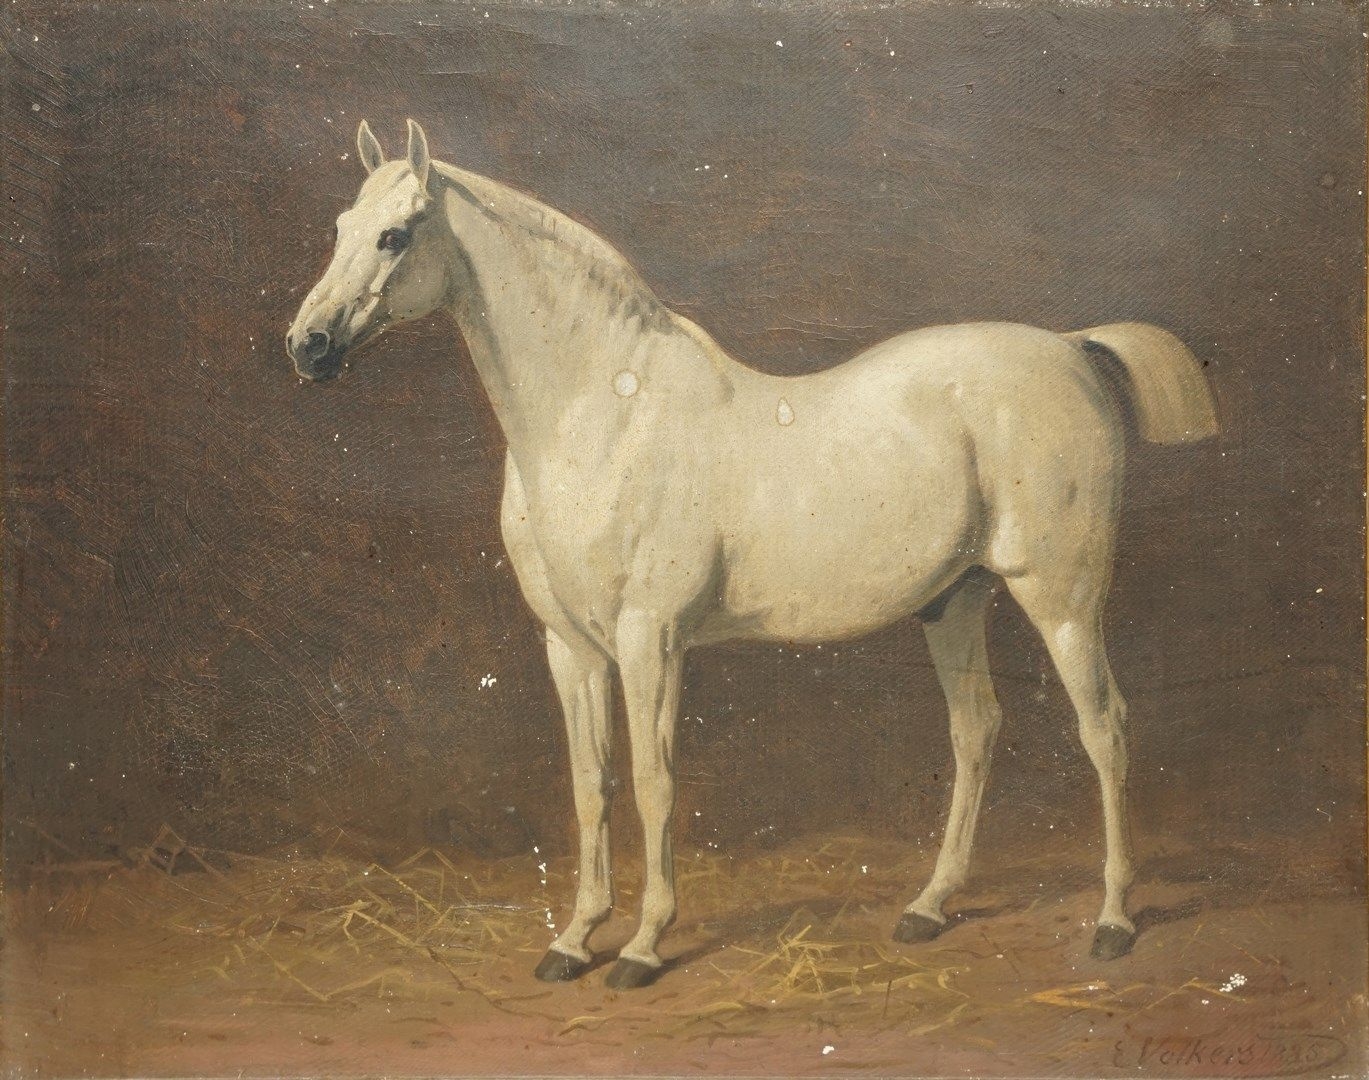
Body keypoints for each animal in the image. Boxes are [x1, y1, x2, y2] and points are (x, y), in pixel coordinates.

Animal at [287, 119, 1218, 990]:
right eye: (338, 226)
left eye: (394, 235)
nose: (309, 345)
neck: (601, 416)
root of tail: (1071, 348)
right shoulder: (570, 647)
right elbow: (590, 787)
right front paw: (572, 940)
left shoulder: (649, 639)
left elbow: (655, 783)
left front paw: (642, 948)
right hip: (955, 601)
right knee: (976, 730)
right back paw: (926, 907)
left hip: (1060, 599)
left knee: (1104, 729)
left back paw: (1112, 921)